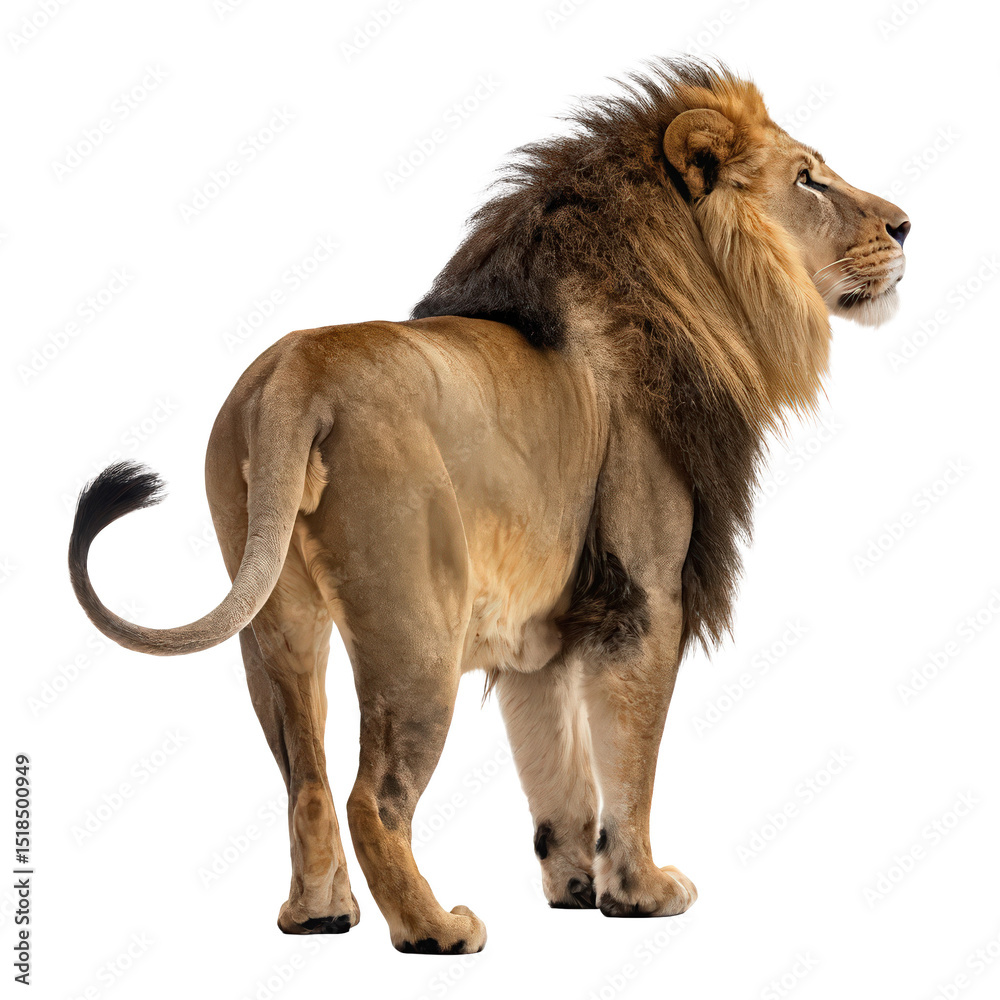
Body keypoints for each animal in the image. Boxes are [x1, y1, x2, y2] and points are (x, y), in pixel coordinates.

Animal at [68, 59, 908, 953]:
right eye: (808, 178)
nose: (906, 226)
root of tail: (298, 373)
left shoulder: (537, 635)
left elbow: (556, 767)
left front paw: (575, 886)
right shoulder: (644, 594)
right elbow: (629, 762)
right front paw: (641, 891)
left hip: (277, 627)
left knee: (305, 780)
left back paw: (320, 915)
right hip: (418, 627)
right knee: (373, 798)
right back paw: (434, 928)